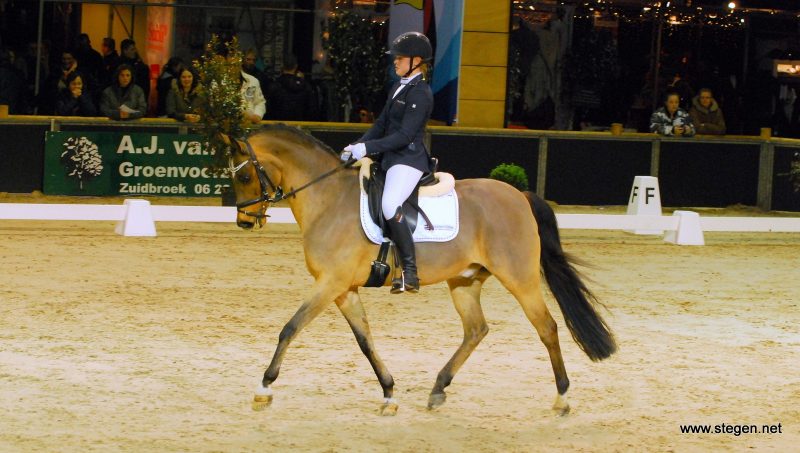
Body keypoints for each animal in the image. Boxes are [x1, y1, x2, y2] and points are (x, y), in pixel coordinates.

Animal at [226, 124, 616, 416]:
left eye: (243, 177)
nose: (244, 221)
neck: (328, 199)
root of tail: (520, 195)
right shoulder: (343, 289)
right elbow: (365, 340)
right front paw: (389, 394)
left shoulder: (330, 283)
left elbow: (290, 328)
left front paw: (263, 388)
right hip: (464, 280)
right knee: (476, 330)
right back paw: (438, 388)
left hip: (519, 277)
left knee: (547, 327)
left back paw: (562, 398)